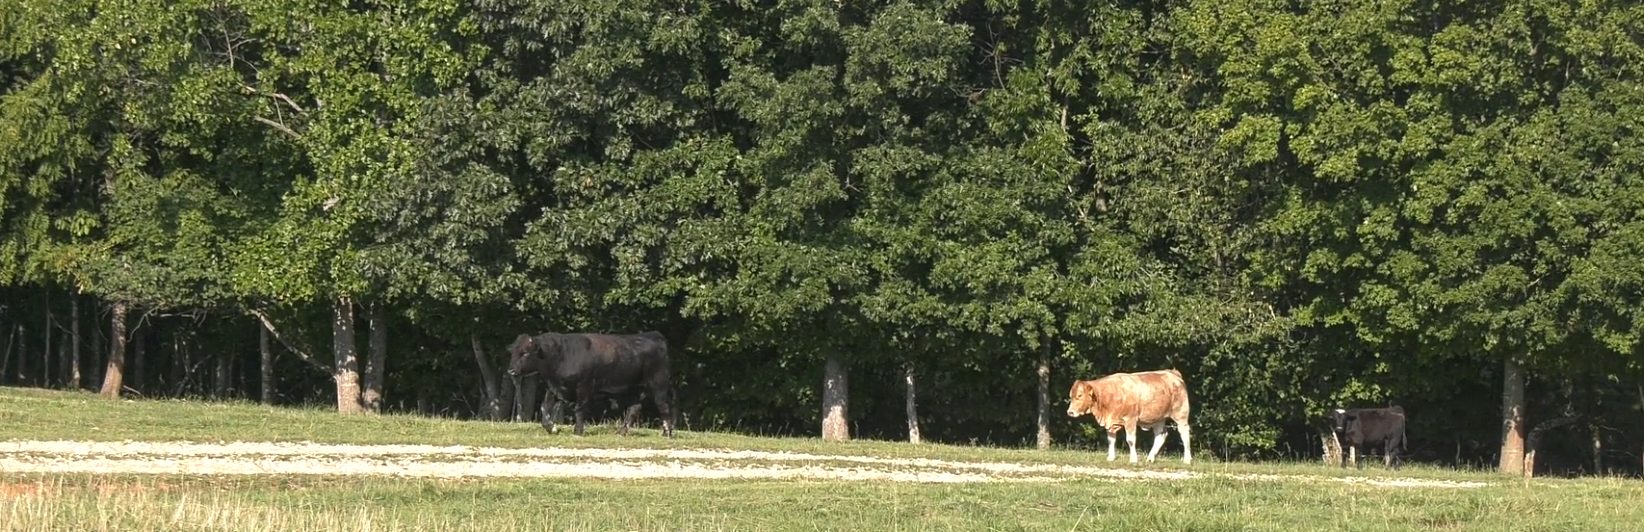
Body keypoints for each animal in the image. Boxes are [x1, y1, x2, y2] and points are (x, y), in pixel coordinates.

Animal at [505, 331, 675, 438]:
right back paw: (622, 432)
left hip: (658, 385)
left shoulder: (584, 387)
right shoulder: (554, 387)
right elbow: (544, 408)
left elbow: (580, 409)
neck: (561, 355)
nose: (511, 370)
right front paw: (552, 428)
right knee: (634, 408)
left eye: (525, 353)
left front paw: (578, 431)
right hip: (634, 389)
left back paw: (667, 432)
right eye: (513, 352)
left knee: (663, 406)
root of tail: (653, 336)